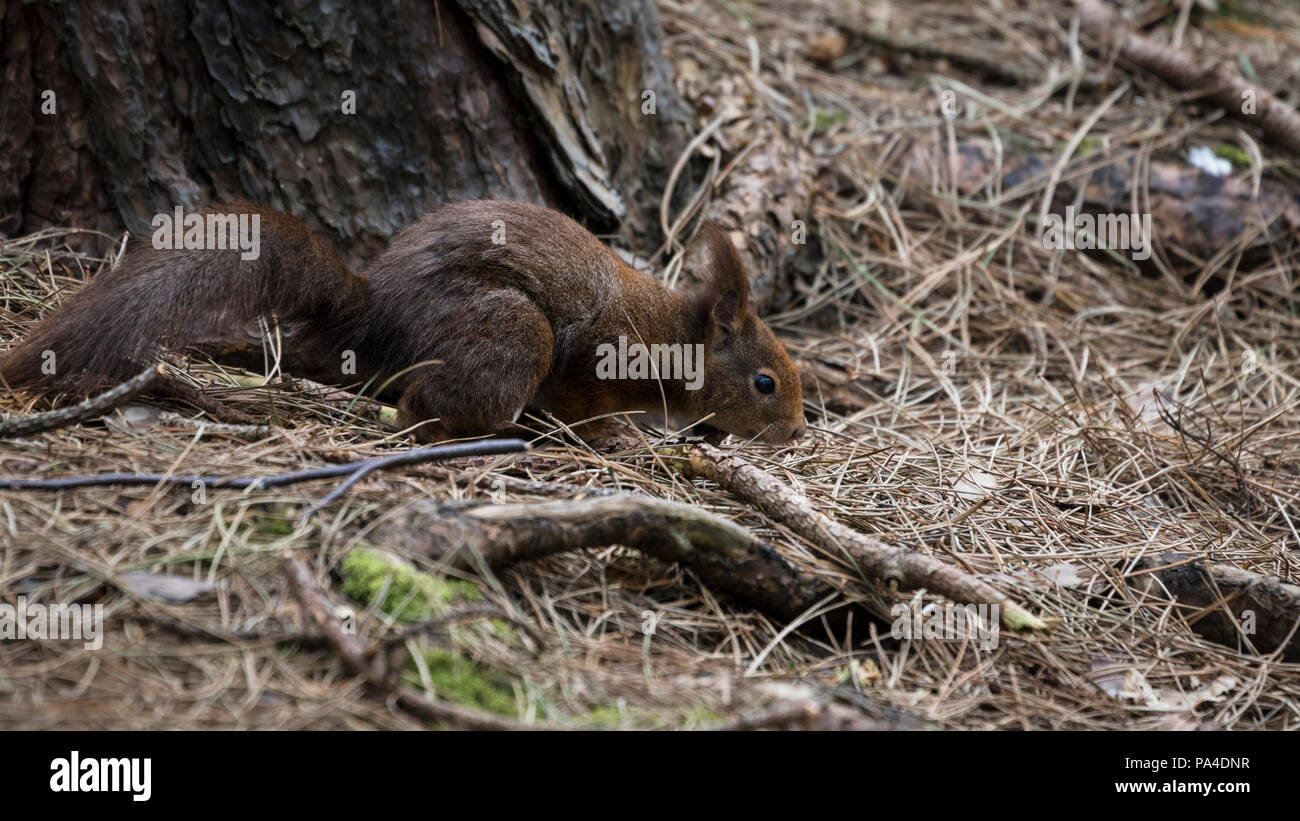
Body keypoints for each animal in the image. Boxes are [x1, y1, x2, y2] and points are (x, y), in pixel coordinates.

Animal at [0, 199, 806, 444]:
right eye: (765, 383)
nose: (799, 433)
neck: (670, 337)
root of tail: (374, 315)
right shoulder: (595, 356)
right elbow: (583, 405)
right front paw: (615, 436)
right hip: (511, 331)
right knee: (422, 408)